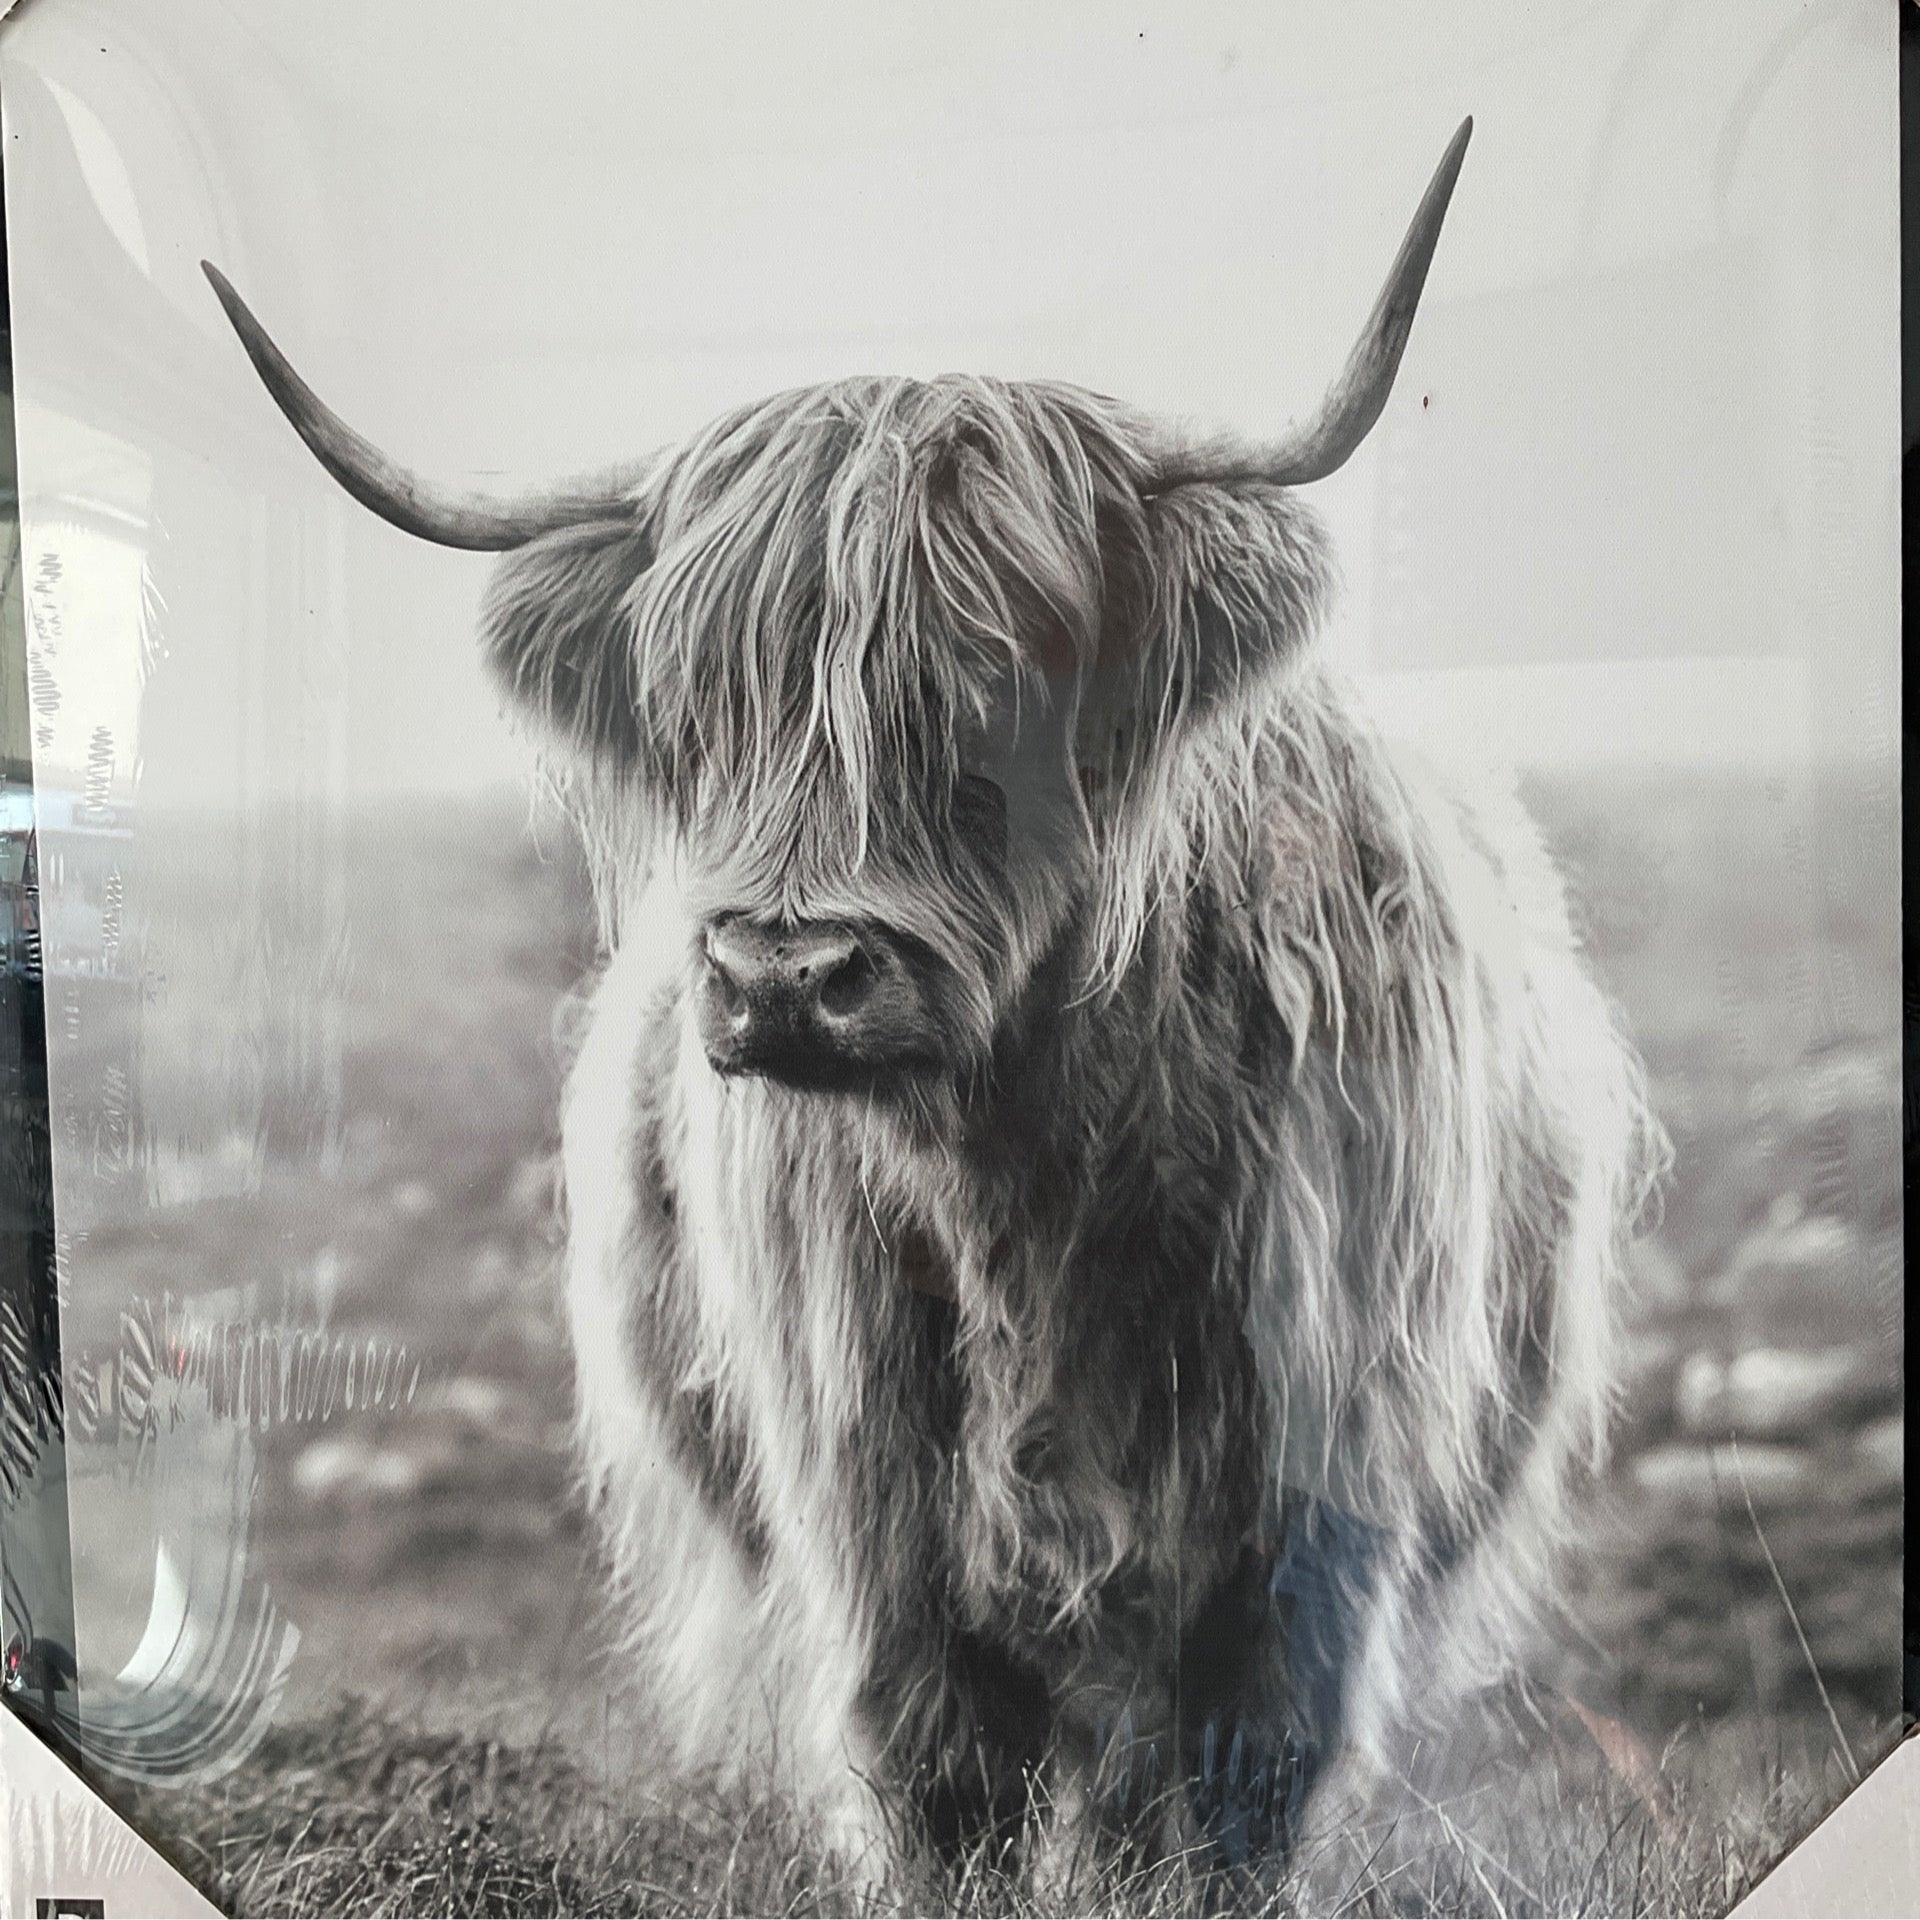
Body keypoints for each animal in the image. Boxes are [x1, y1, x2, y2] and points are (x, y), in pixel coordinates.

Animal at [205, 117, 1662, 1891]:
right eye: (703, 706)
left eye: (999, 687)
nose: (786, 978)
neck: (1019, 1185)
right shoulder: (870, 1505)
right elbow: (939, 1770)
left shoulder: (1304, 1519)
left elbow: (1230, 1793)